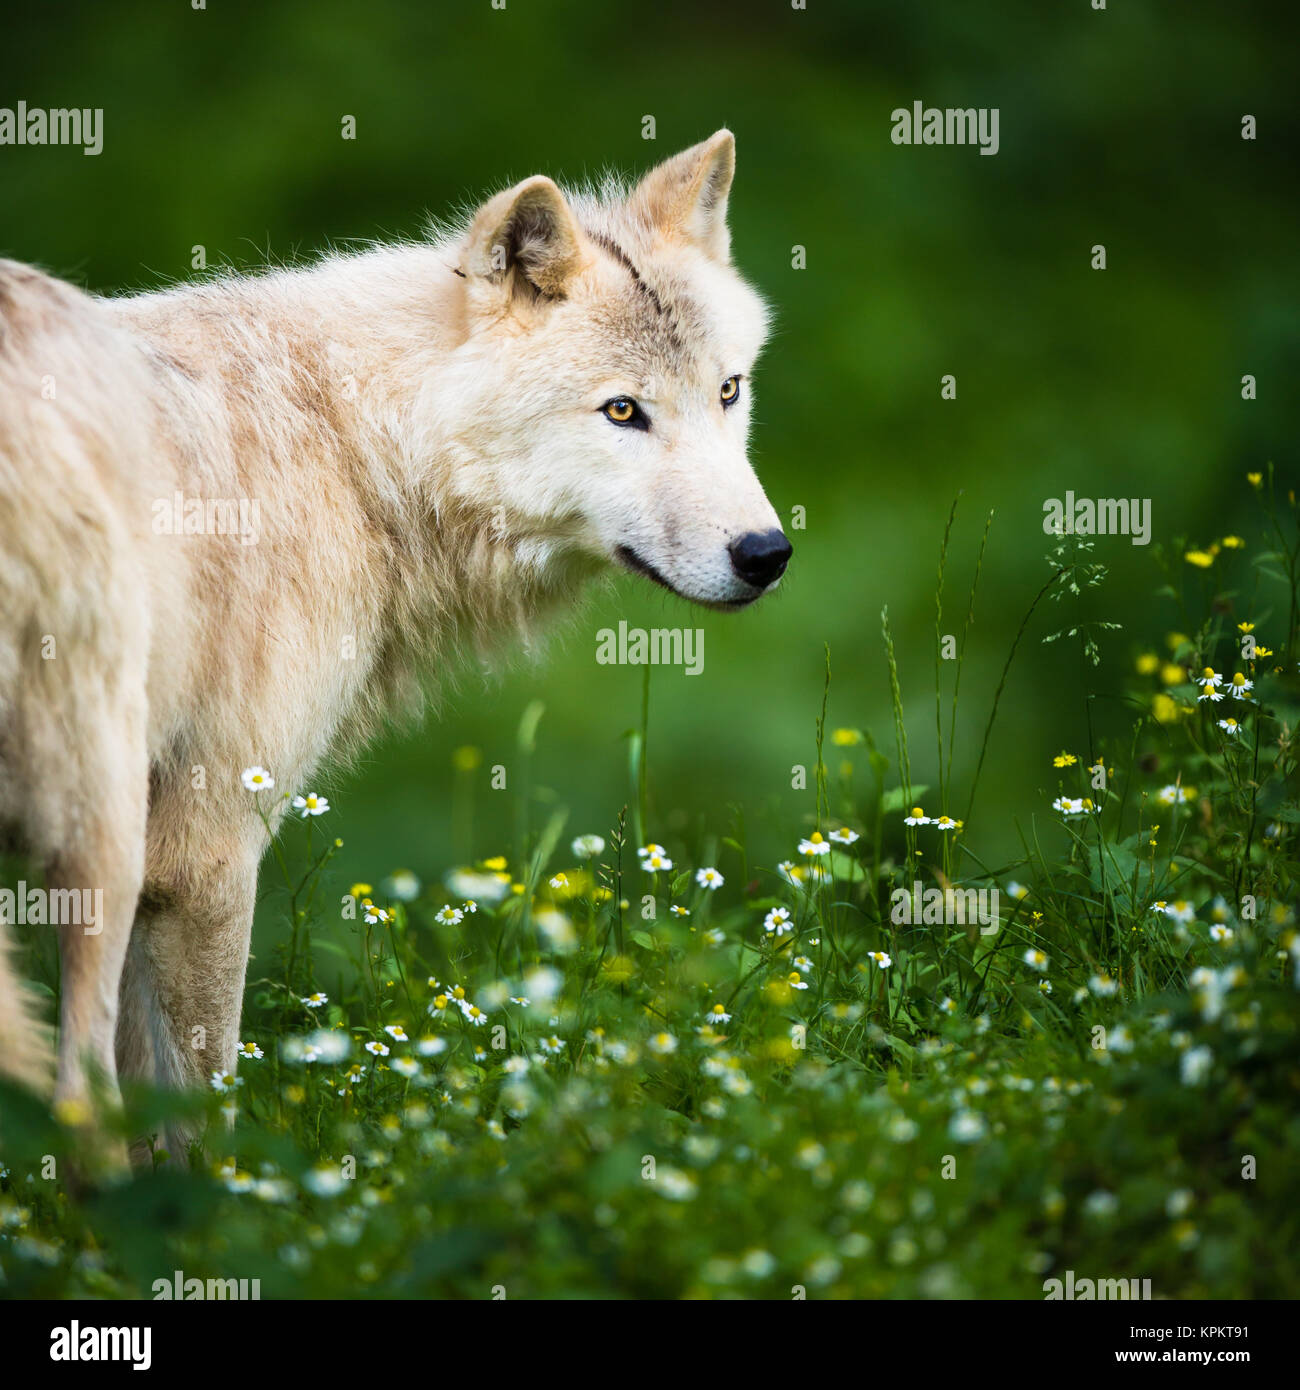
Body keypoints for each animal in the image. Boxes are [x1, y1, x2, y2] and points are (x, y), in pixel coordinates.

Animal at [0, 131, 790, 1156]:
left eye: (728, 391)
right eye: (623, 412)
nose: (767, 554)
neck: (356, 447)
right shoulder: (205, 852)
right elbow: (193, 1111)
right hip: (99, 837)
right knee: (77, 1097)